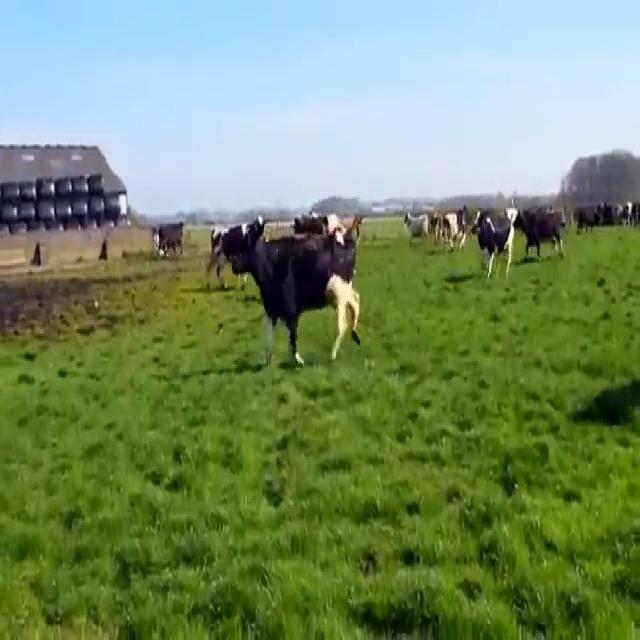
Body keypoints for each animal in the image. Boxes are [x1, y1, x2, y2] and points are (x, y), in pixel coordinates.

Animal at [243, 217, 362, 367]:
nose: (235, 265)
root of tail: (346, 242)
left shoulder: (291, 309)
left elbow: (292, 334)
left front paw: (297, 359)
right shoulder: (271, 309)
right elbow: (269, 333)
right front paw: (269, 360)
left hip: (339, 293)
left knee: (343, 323)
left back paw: (333, 354)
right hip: (339, 293)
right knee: (355, 301)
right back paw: (355, 335)